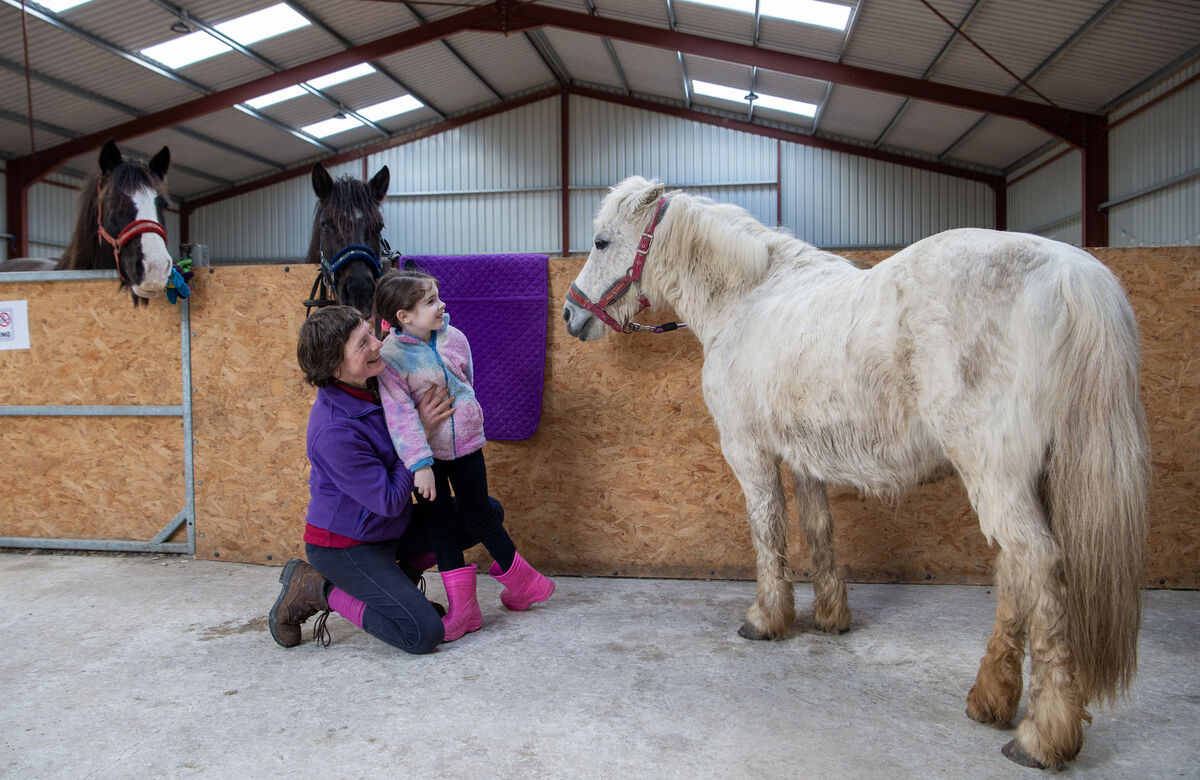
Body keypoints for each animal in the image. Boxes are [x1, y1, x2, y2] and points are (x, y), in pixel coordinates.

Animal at [562, 176, 1149, 770]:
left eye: (602, 241)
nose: (569, 314)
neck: (750, 299)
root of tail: (1071, 272)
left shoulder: (750, 452)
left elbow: (767, 532)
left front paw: (765, 619)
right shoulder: (804, 458)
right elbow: (819, 530)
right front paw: (828, 617)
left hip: (997, 474)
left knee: (1039, 568)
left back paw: (1040, 736)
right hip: (1029, 478)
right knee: (1015, 575)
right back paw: (990, 700)